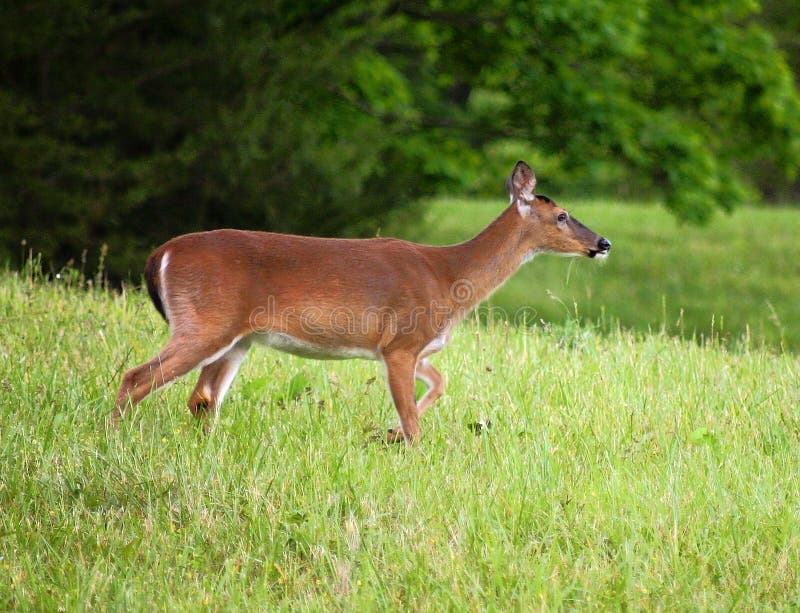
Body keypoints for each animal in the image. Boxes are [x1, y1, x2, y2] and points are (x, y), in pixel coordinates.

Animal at [114, 161, 611, 443]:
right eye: (562, 215)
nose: (603, 243)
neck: (449, 277)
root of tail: (161, 255)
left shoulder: (410, 346)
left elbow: (441, 382)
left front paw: (386, 435)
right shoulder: (401, 342)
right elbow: (413, 420)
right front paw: (406, 445)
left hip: (239, 339)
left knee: (202, 399)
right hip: (206, 322)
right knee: (137, 377)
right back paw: (114, 440)